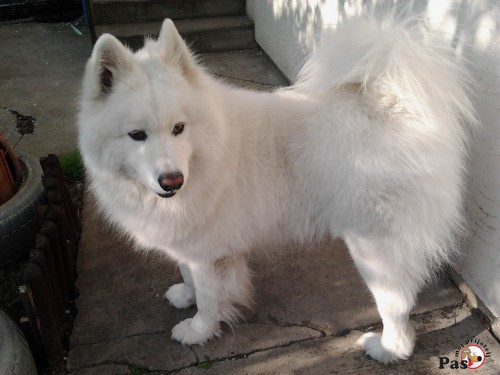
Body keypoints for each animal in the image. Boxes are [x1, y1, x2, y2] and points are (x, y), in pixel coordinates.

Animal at [78, 14, 476, 364]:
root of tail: (395, 103)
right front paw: (183, 296)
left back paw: (386, 351)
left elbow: (208, 300)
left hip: (374, 249)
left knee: (397, 305)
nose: (172, 180)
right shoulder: (192, 241)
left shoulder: (211, 255)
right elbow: (186, 275)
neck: (207, 152)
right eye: (137, 135)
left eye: (178, 128)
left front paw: (196, 331)